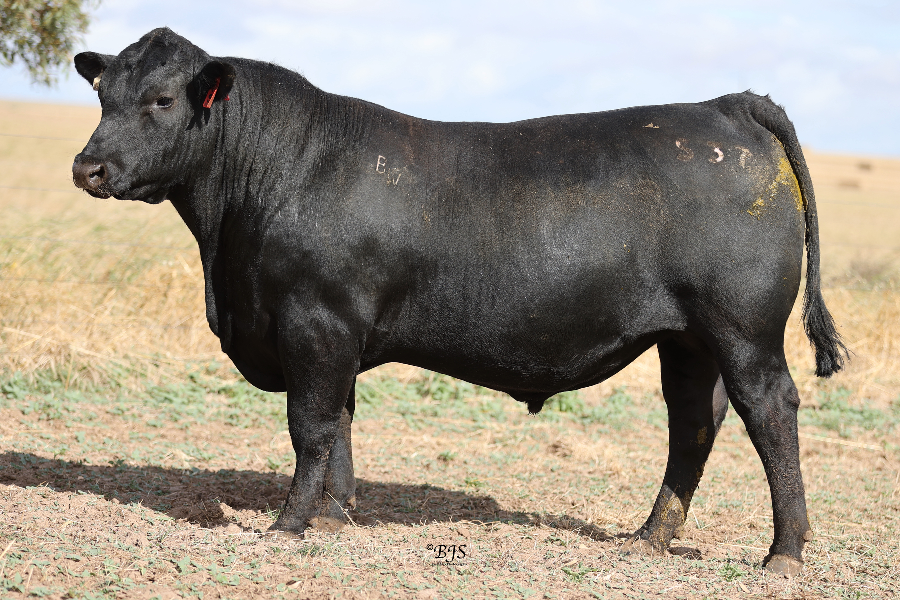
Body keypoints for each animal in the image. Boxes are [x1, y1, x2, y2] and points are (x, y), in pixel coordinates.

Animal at [72, 28, 846, 576]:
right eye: (103, 94)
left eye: (162, 100)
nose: (89, 166)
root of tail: (725, 107)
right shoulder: (337, 331)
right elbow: (342, 421)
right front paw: (335, 516)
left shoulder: (315, 323)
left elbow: (311, 426)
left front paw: (289, 523)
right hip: (685, 338)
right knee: (693, 424)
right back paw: (650, 536)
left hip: (743, 329)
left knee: (769, 410)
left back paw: (783, 552)